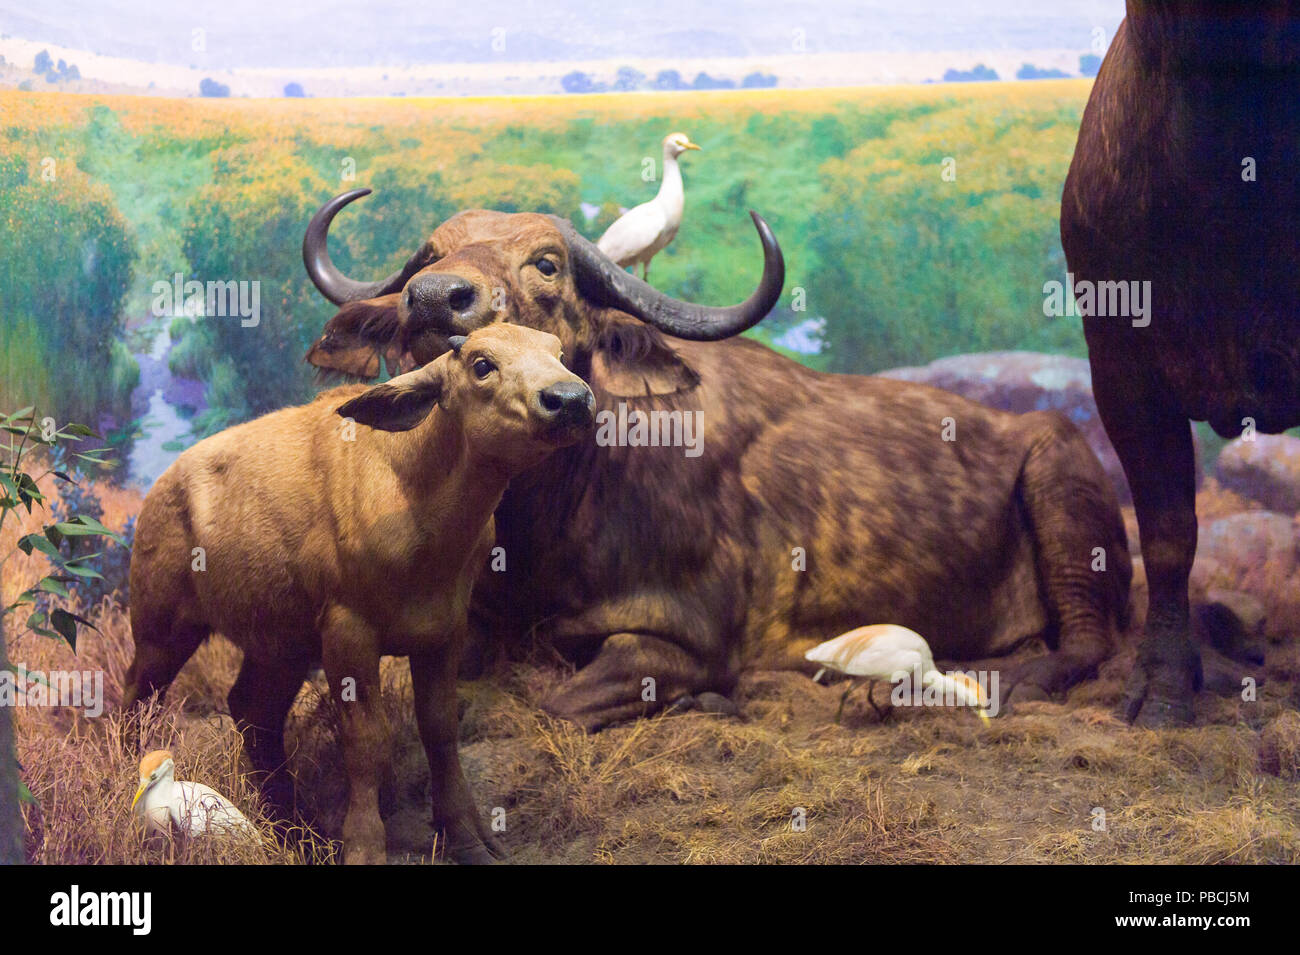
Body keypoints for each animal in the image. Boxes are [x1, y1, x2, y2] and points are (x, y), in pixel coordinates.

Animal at [303, 188, 1132, 730]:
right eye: (430, 254)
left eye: (545, 263)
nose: (434, 297)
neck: (552, 510)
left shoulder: (690, 638)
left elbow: (560, 703)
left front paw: (706, 700)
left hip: (1062, 485)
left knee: (1087, 638)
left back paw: (1016, 677)